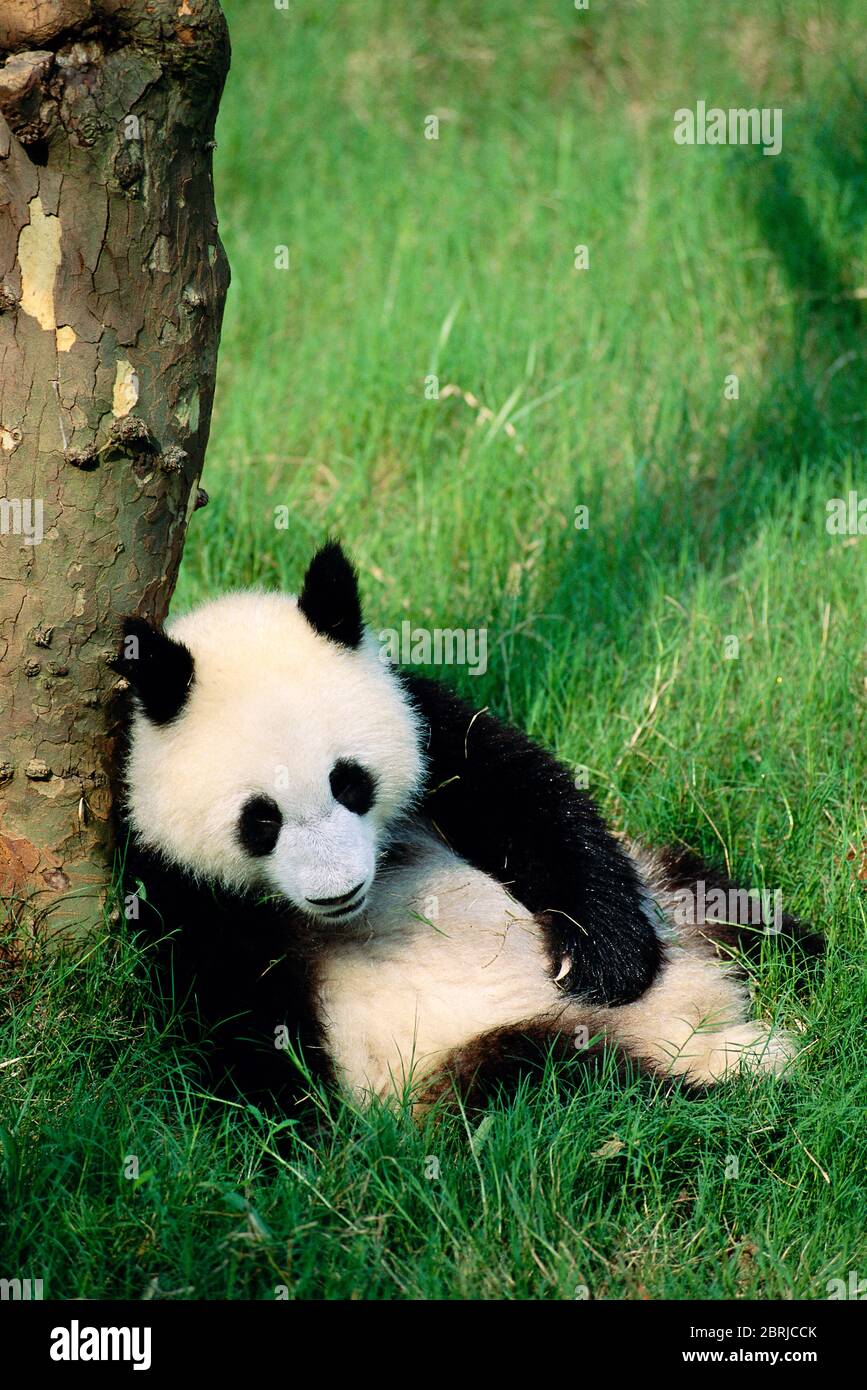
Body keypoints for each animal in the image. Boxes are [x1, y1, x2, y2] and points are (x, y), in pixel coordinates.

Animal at [113, 541, 816, 1112]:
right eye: (262, 820)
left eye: (350, 782)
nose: (337, 890)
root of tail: (699, 1017)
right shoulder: (170, 881)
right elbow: (232, 1013)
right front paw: (294, 1124)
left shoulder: (430, 726)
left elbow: (531, 802)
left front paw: (602, 962)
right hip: (473, 1057)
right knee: (559, 1090)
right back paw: (735, 1081)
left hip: (670, 893)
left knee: (742, 913)